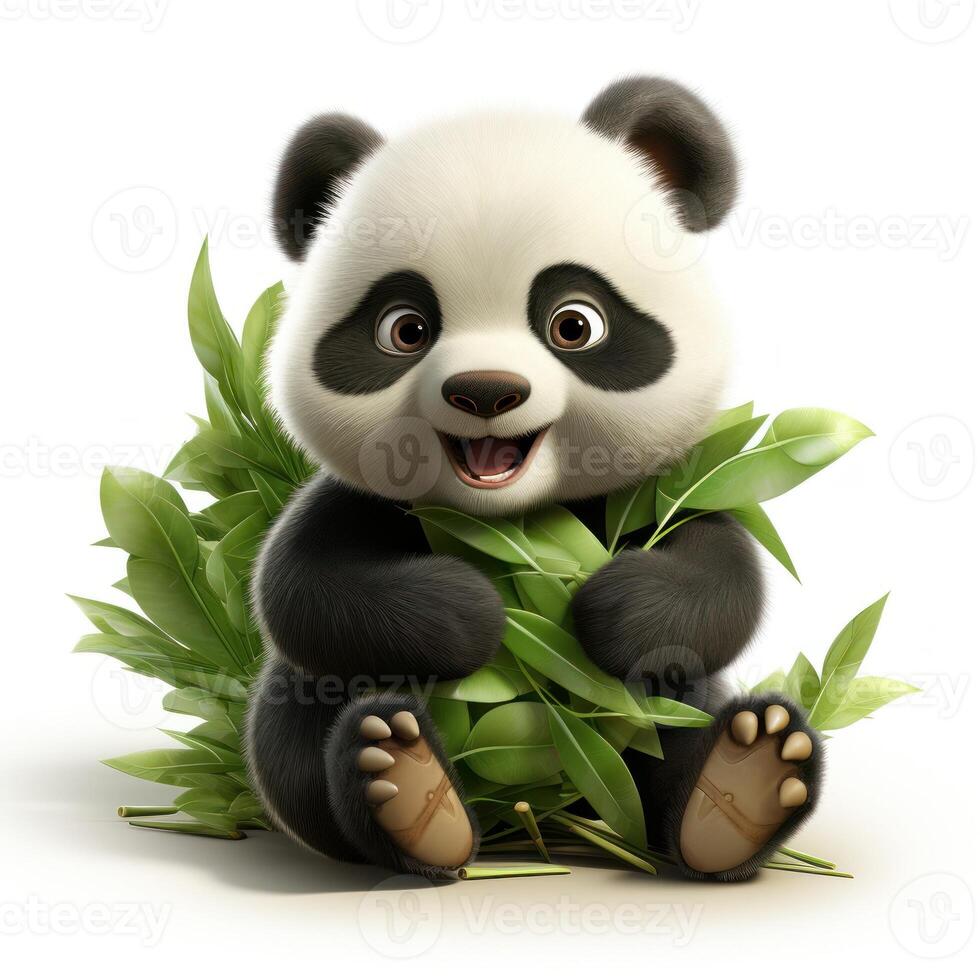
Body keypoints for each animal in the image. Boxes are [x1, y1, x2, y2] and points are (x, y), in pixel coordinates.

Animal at [245, 77, 823, 882]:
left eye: (573, 323)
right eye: (405, 329)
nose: (486, 391)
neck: (513, 518)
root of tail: (543, 820)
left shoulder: (662, 490)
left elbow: (722, 580)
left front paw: (610, 608)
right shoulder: (362, 502)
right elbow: (303, 587)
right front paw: (477, 611)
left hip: (649, 725)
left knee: (682, 724)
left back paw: (743, 783)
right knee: (304, 741)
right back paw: (411, 794)